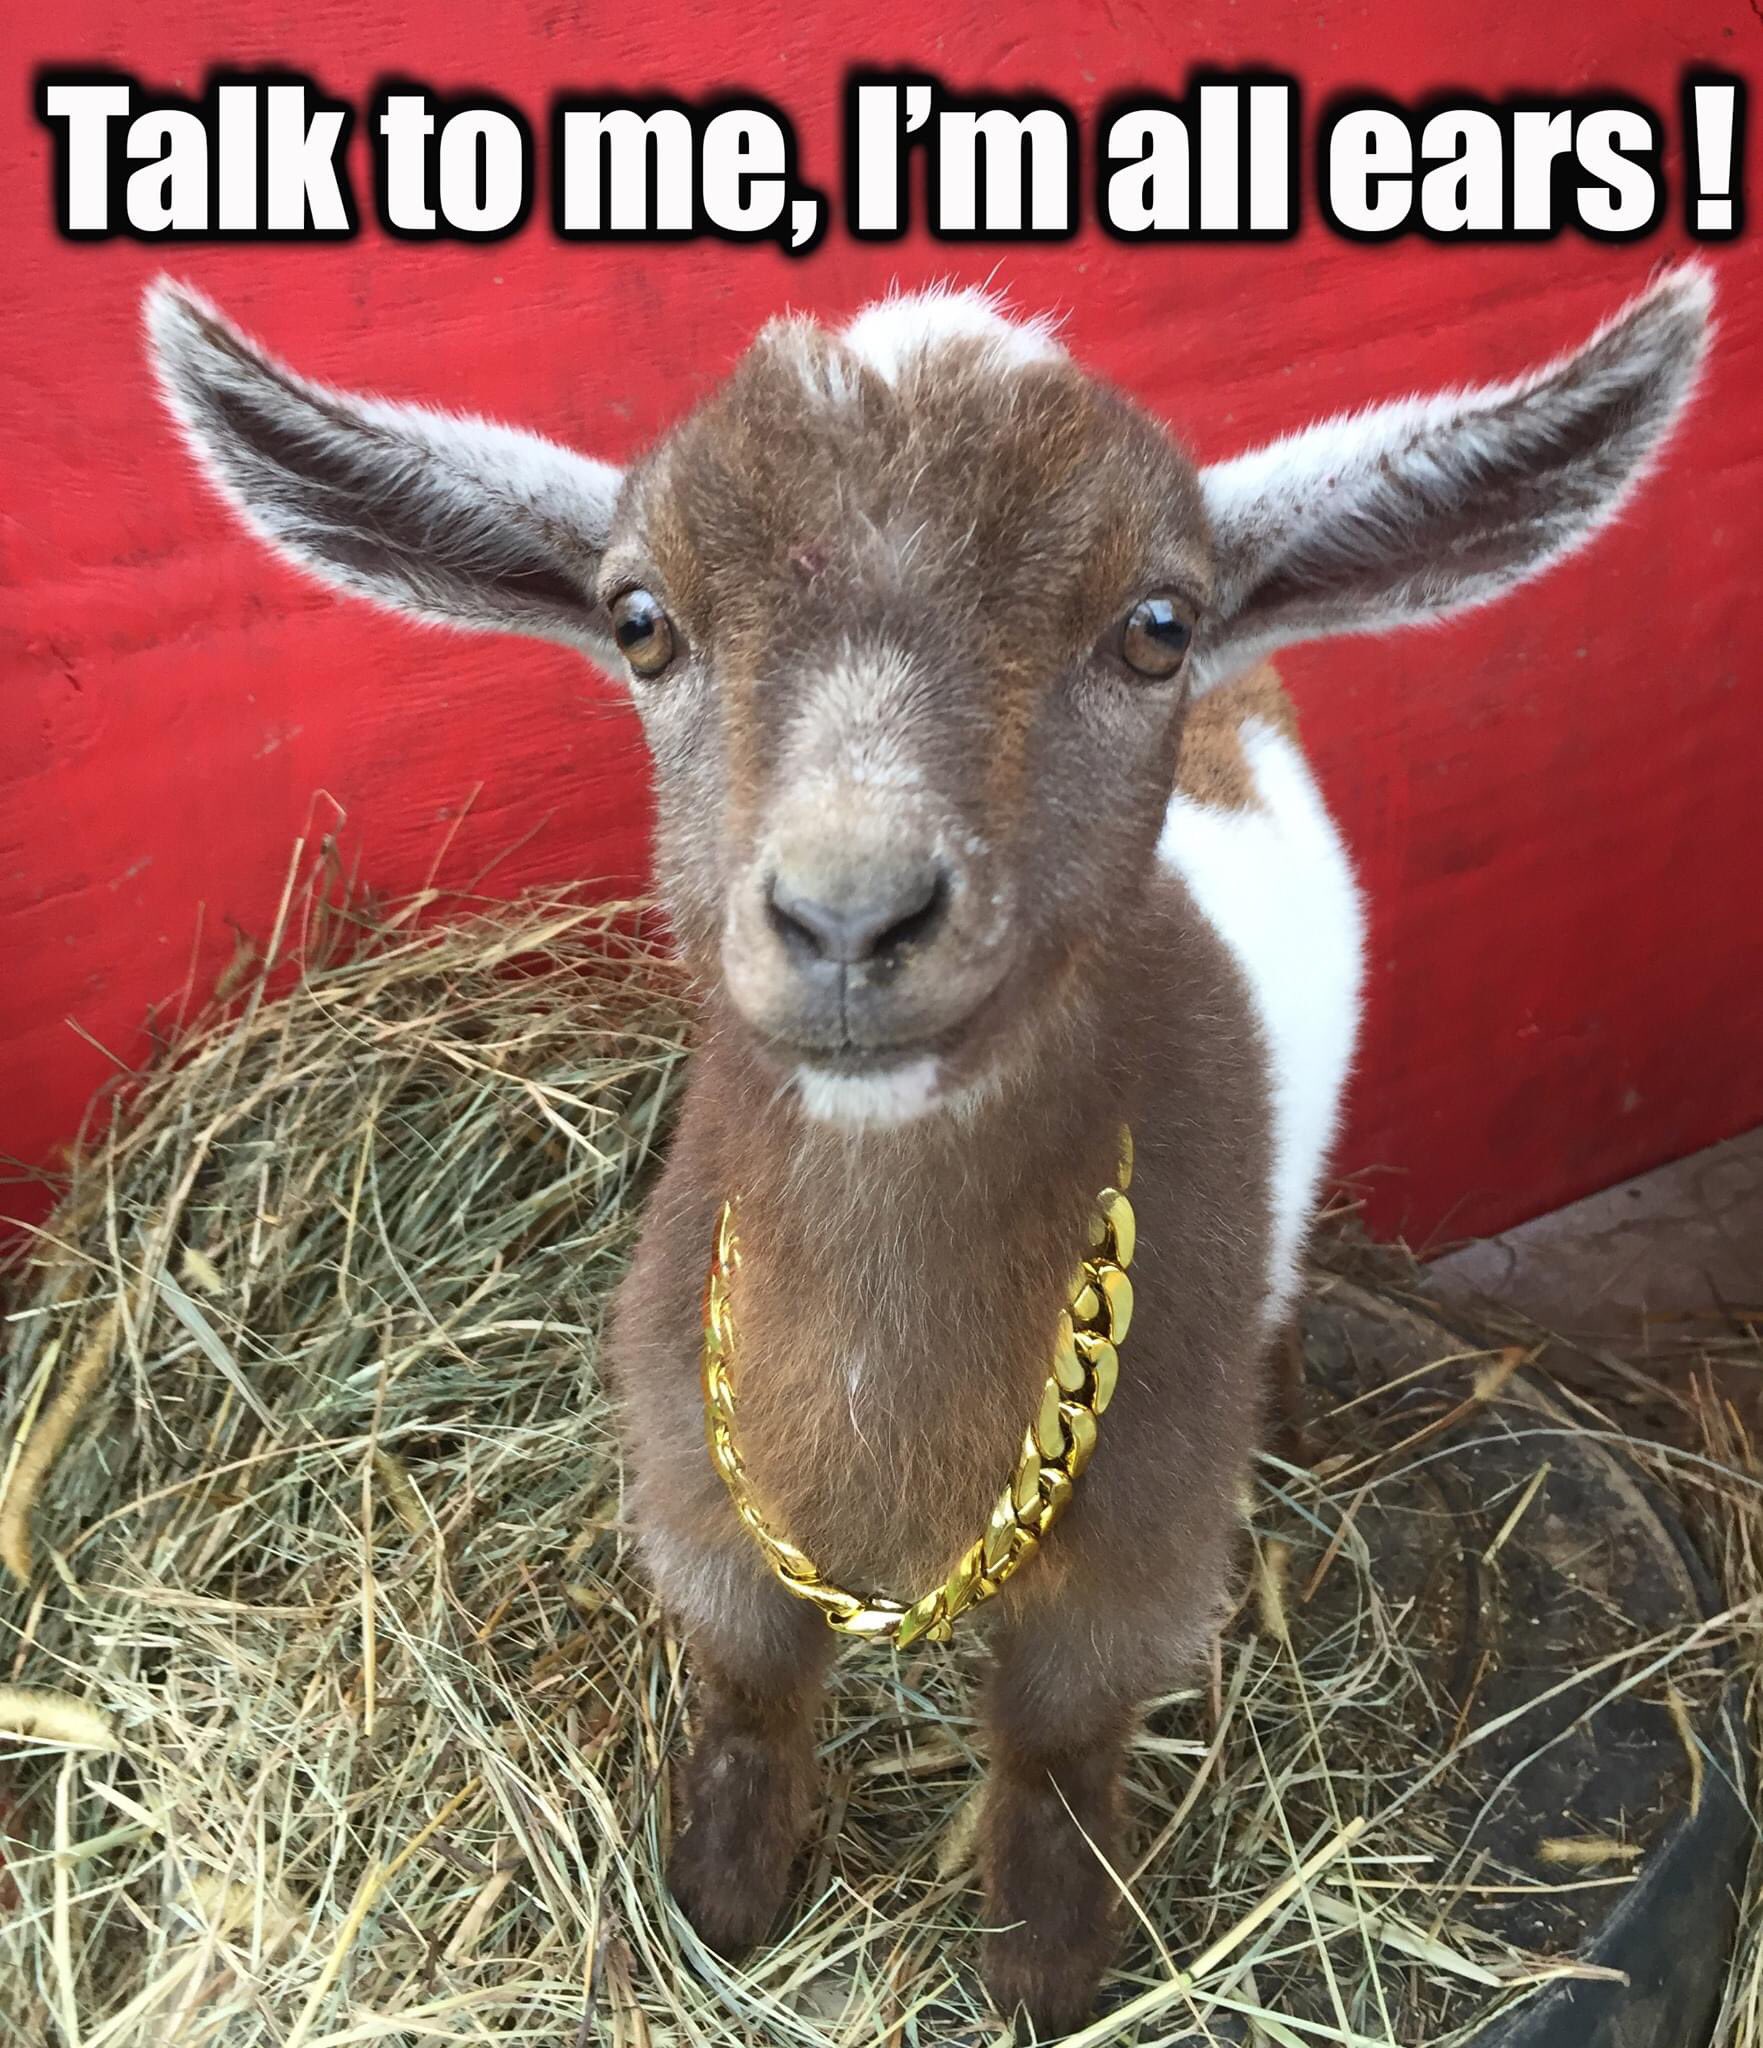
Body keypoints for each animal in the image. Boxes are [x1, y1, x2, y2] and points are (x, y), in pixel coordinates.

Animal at [147, 266, 1711, 2030]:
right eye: (638, 620)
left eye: (1152, 625)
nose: (847, 916)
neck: (888, 1418)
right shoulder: (695, 1494)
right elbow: (746, 1700)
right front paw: (723, 1905)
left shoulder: (1132, 1557)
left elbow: (1056, 1759)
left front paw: (1045, 1977)